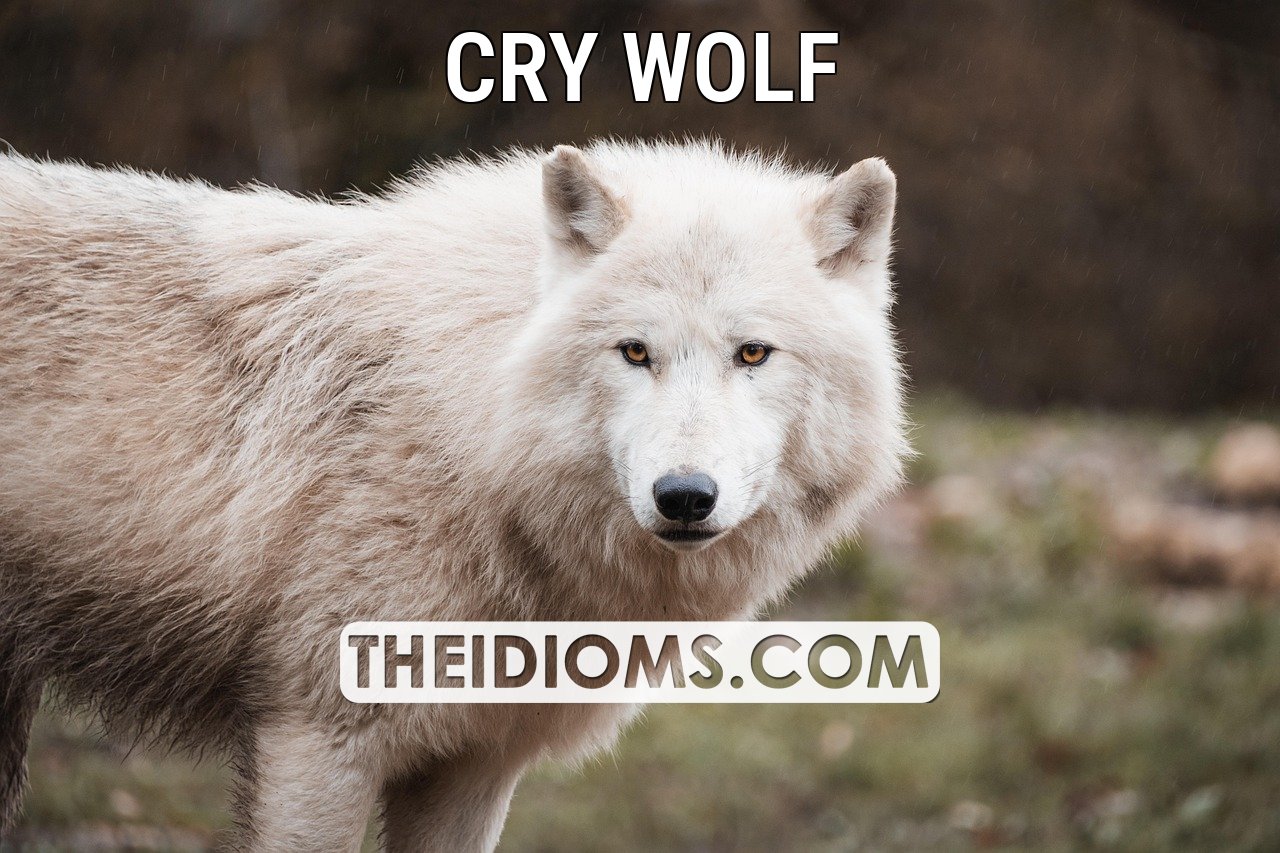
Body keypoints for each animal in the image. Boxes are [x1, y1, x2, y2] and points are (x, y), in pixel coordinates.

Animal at [0, 139, 909, 850]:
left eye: (753, 352)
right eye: (634, 351)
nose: (684, 496)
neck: (473, 431)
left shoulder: (473, 768)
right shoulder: (314, 741)